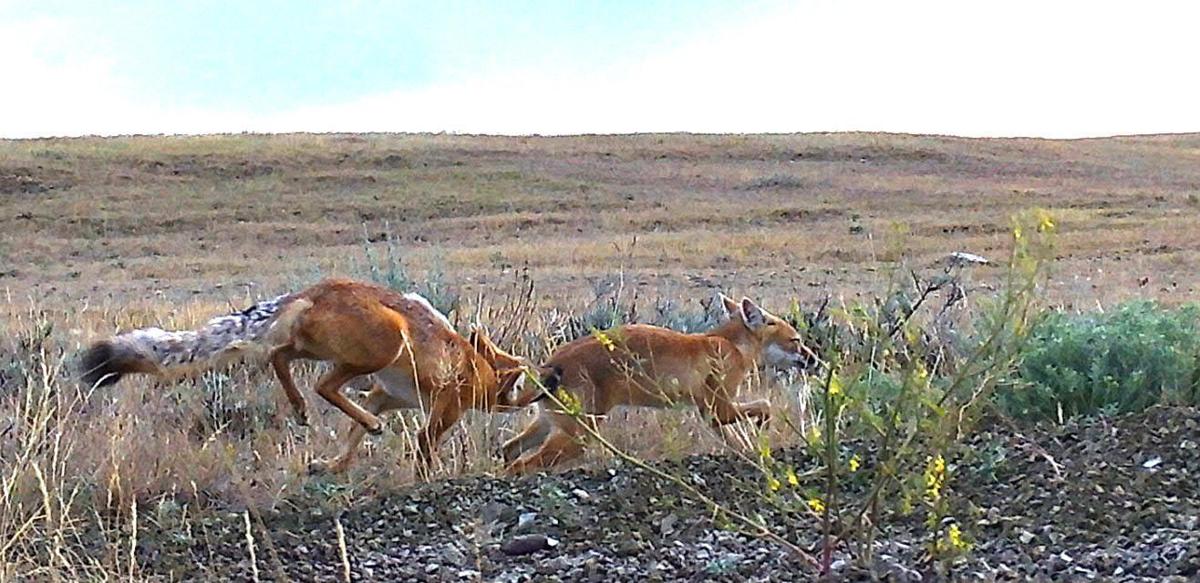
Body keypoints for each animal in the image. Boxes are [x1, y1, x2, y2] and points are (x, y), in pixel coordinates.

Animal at [79, 278, 539, 473]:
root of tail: (313, 289)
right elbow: (424, 445)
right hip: (382, 347)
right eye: (520, 385)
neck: (478, 370)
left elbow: (352, 439)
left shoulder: (387, 395)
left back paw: (301, 407)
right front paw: (428, 476)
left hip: (319, 351)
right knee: (321, 384)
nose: (537, 395)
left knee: (280, 358)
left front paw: (335, 464)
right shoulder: (444, 408)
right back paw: (327, 411)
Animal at [502, 294, 813, 474]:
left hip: (550, 426)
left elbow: (738, 442)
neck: (730, 344)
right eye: (796, 340)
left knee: (508, 449)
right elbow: (765, 404)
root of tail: (551, 362)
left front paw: (753, 453)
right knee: (520, 465)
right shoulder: (720, 408)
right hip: (578, 438)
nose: (814, 359)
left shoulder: (711, 415)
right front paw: (762, 430)